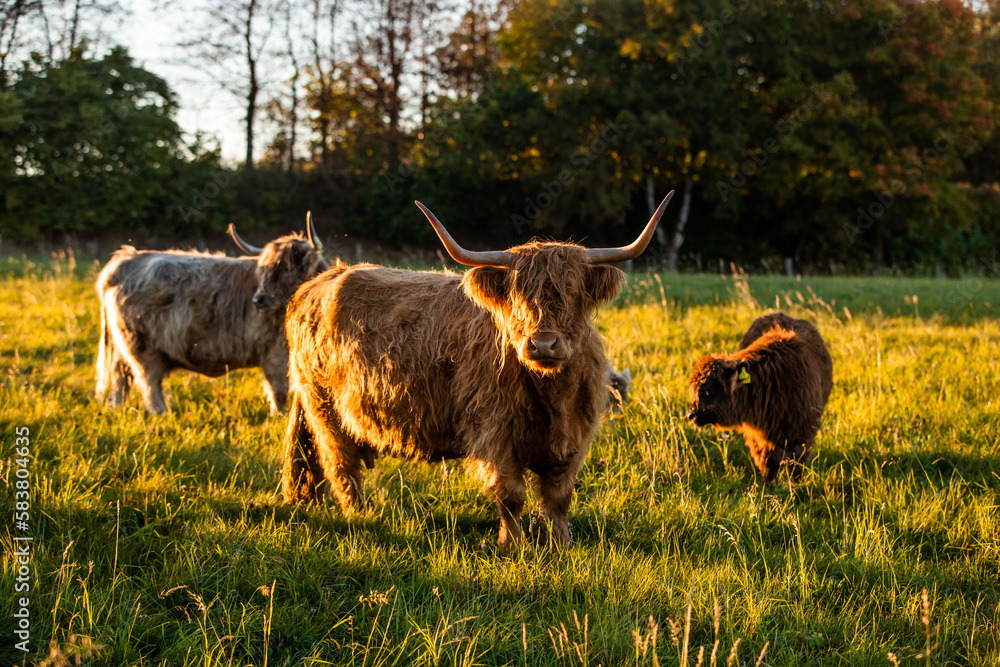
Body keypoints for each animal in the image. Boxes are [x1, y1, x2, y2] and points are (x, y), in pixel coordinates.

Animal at [95, 215, 328, 414]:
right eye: (265, 270)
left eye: (287, 269)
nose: (258, 300)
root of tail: (124, 259)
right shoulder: (275, 353)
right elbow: (279, 388)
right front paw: (280, 415)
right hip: (140, 344)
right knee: (148, 380)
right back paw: (161, 413)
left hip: (123, 344)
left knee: (120, 375)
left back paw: (118, 408)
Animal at [281, 192, 675, 548]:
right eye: (517, 296)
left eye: (573, 293)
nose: (543, 344)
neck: (552, 397)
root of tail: (316, 283)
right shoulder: (493, 432)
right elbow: (511, 495)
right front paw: (511, 547)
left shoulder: (575, 437)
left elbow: (558, 497)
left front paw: (563, 545)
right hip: (324, 407)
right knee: (341, 466)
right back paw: (361, 517)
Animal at [687, 312, 833, 481]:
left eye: (708, 391)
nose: (691, 414)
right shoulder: (758, 436)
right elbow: (770, 464)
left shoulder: (803, 432)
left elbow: (795, 464)